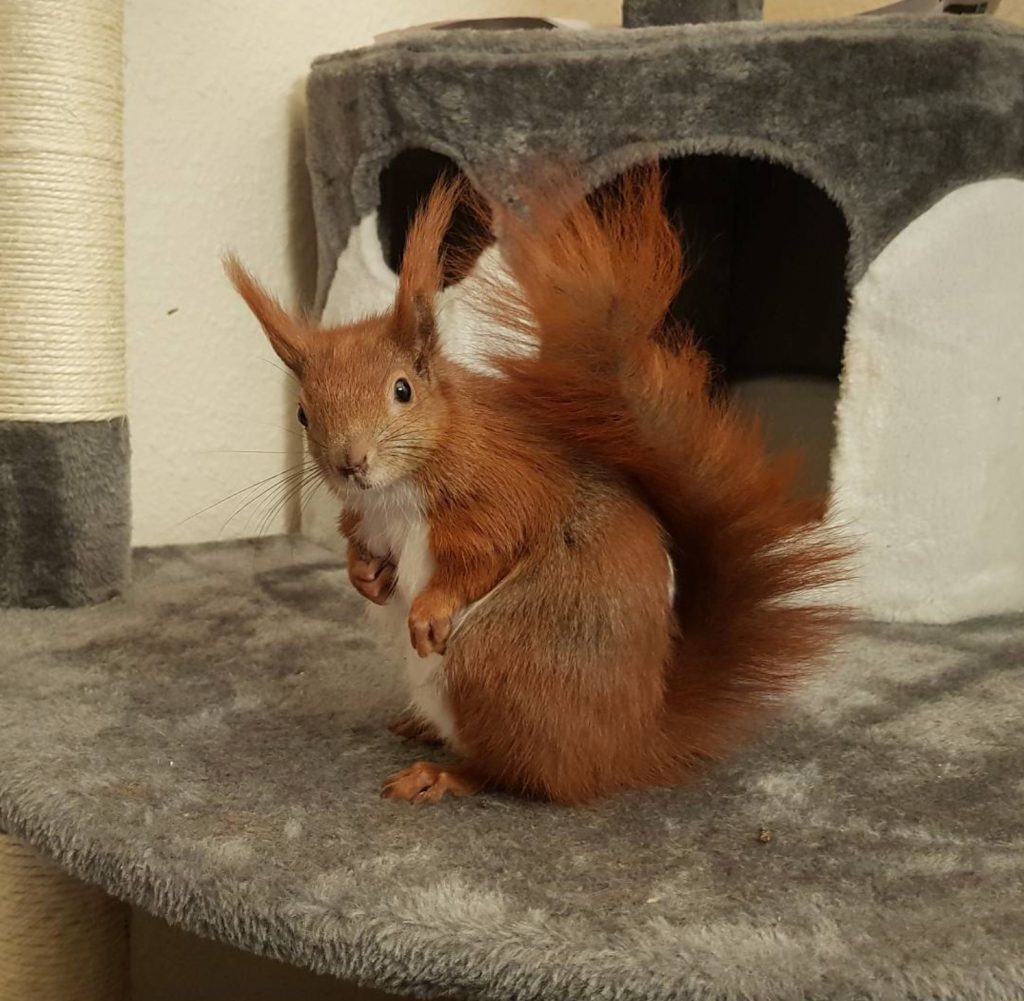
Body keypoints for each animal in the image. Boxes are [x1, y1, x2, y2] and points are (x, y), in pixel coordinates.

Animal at [225, 164, 848, 805]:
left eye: (403, 390)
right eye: (303, 414)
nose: (351, 463)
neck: (398, 488)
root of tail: (626, 747)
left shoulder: (504, 493)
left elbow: (487, 554)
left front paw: (428, 608)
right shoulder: (366, 518)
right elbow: (360, 549)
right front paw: (365, 577)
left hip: (492, 665)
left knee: (519, 776)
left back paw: (442, 773)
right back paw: (420, 726)